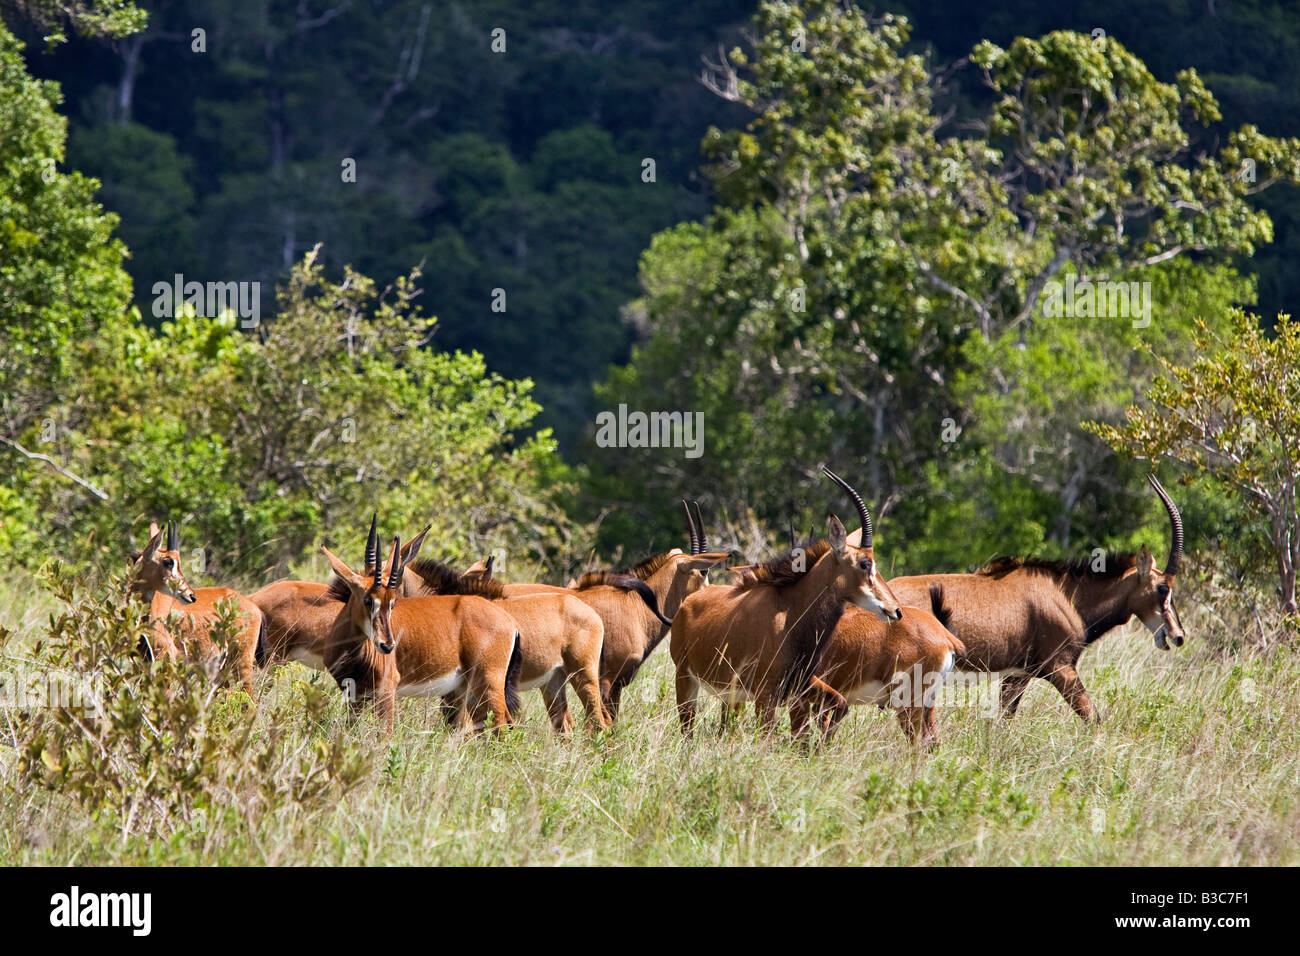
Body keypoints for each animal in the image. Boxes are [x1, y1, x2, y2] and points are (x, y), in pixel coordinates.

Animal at [670, 468, 903, 736]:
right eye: (865, 563)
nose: (896, 610)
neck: (790, 614)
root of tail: (690, 600)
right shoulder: (765, 695)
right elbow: (768, 736)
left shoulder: (802, 685)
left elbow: (840, 706)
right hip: (685, 680)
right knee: (687, 729)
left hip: (729, 693)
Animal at [880, 475, 1187, 722]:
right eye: (1163, 588)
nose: (1178, 636)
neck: (1067, 597)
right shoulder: (1060, 668)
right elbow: (1093, 718)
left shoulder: (1018, 675)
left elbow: (1004, 719)